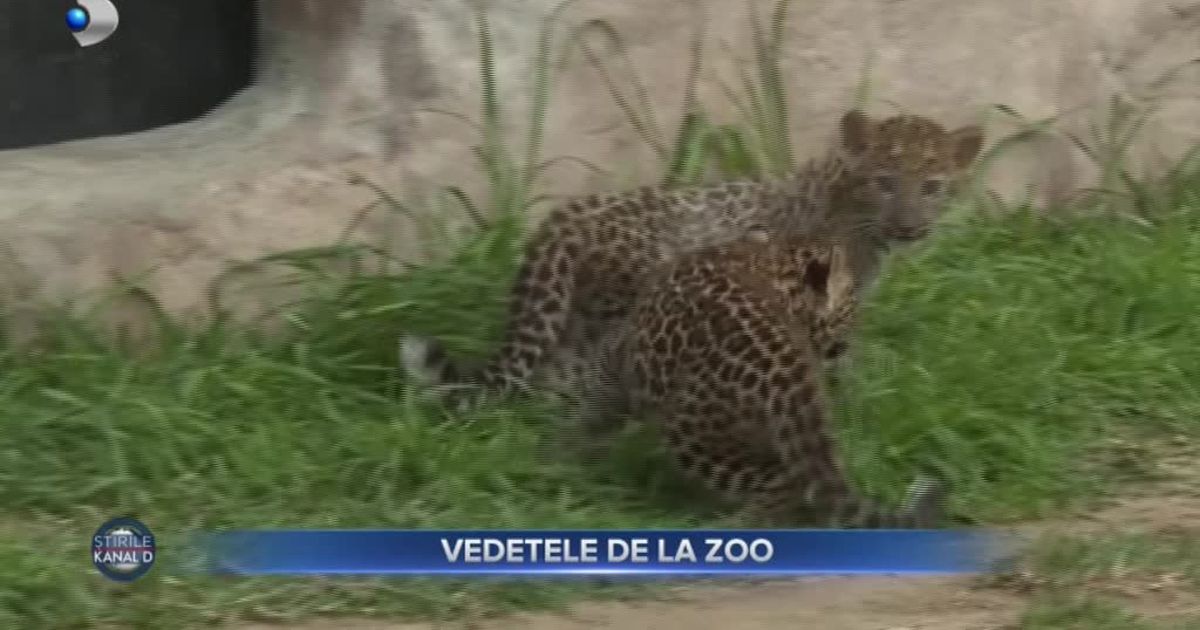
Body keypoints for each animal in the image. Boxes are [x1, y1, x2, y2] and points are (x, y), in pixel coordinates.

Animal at [572, 231, 946, 527]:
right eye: (851, 300)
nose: (854, 335)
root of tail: (783, 362)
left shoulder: (617, 355)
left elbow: (596, 398)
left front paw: (575, 451)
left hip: (692, 432)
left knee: (782, 482)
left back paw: (732, 526)